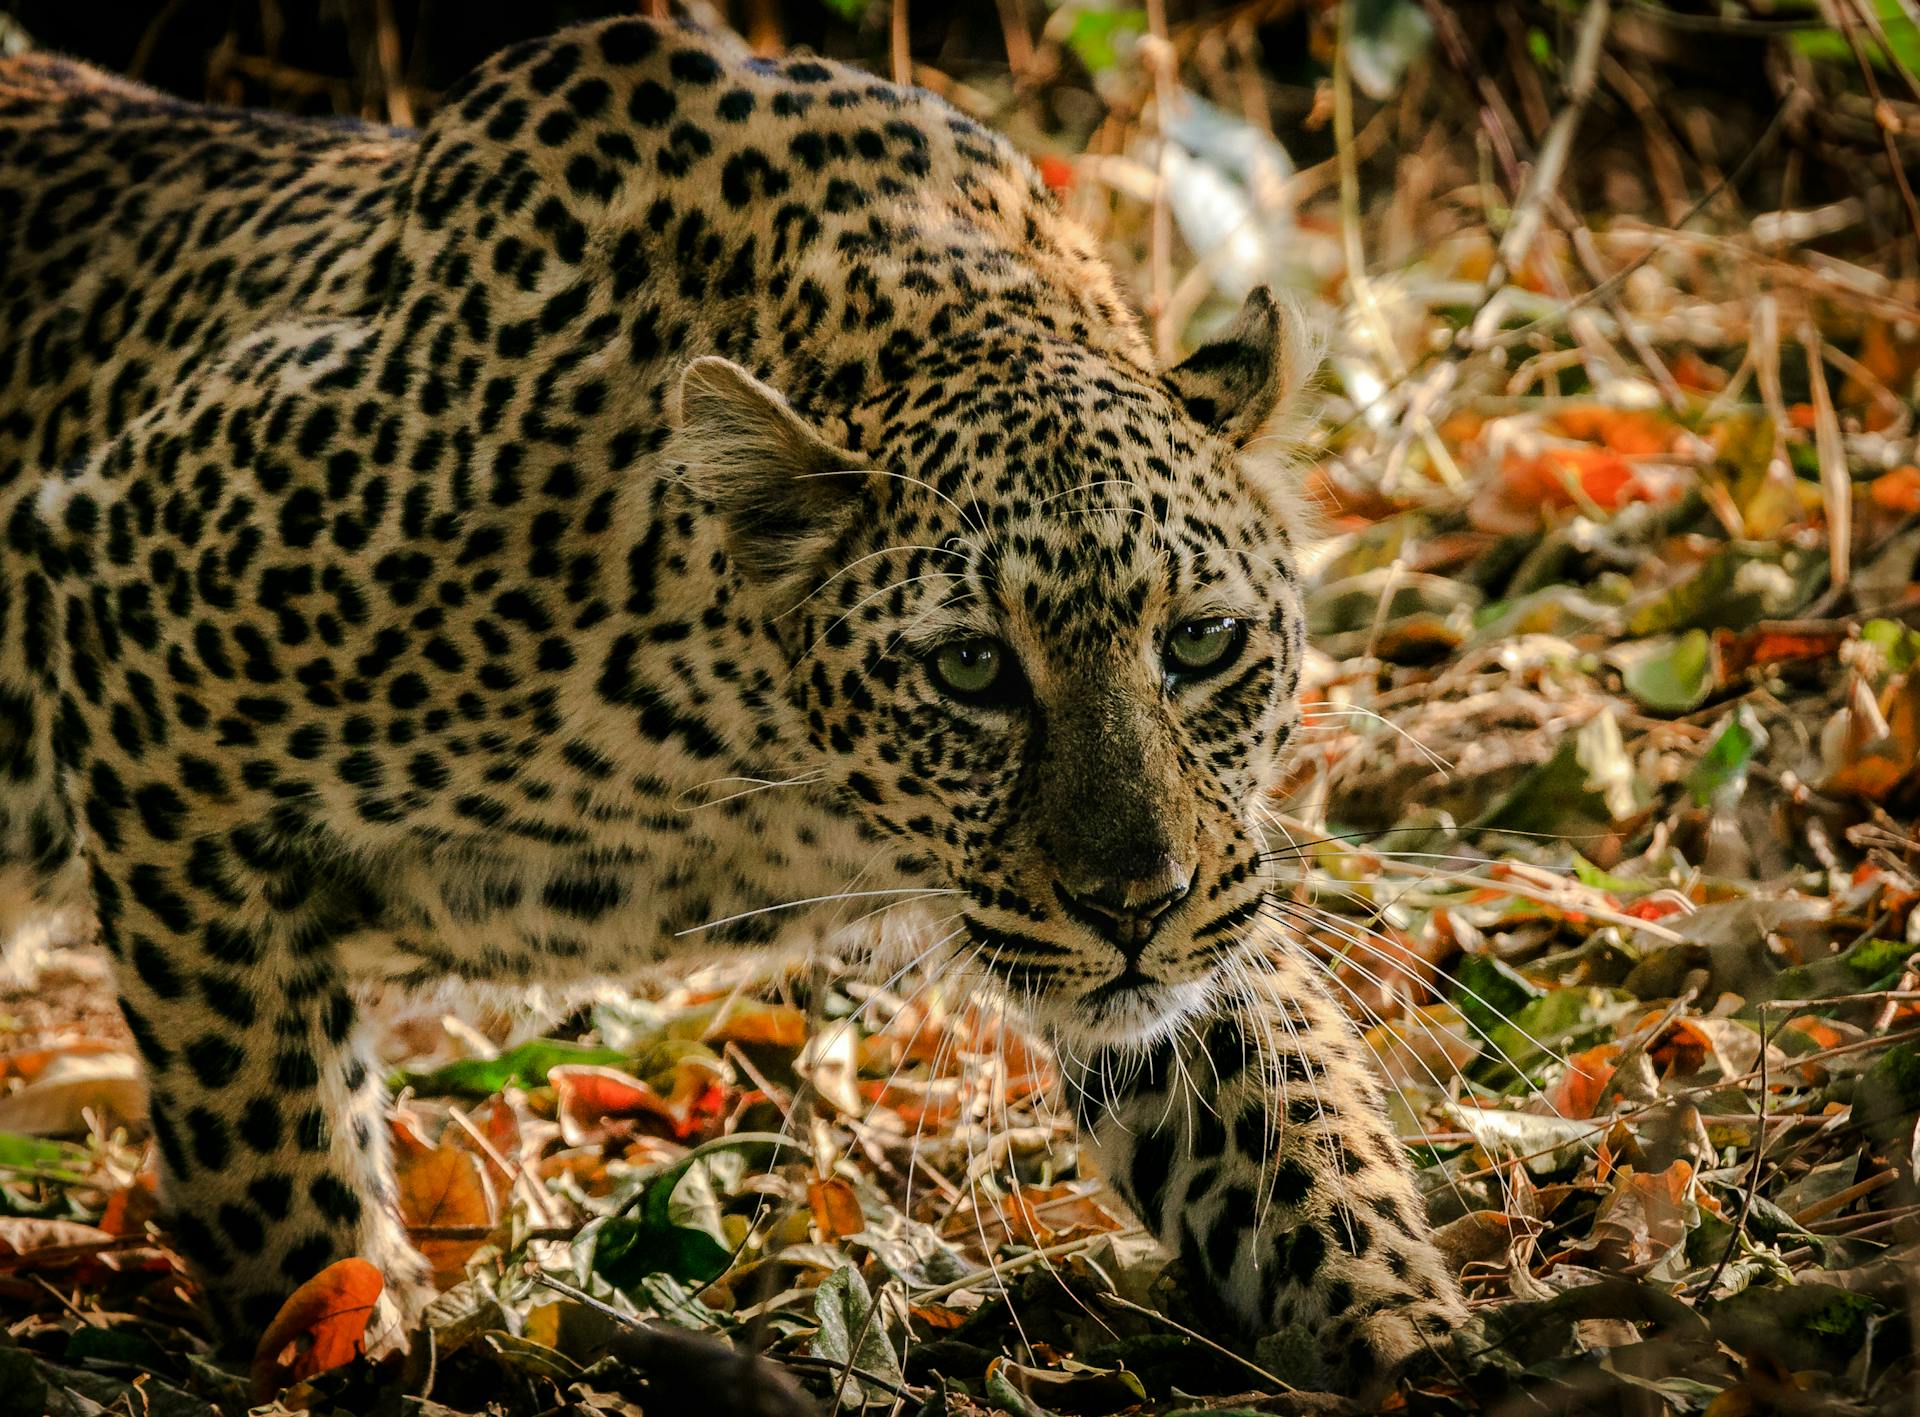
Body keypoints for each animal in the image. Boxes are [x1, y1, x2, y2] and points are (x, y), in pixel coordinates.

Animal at [0, 15, 1466, 1393]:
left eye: (1202, 642)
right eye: (972, 669)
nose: (1133, 906)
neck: (775, 764)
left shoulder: (1205, 890)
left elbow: (1286, 1117)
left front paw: (1414, 1336)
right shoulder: (136, 610)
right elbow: (265, 1120)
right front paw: (341, 1339)